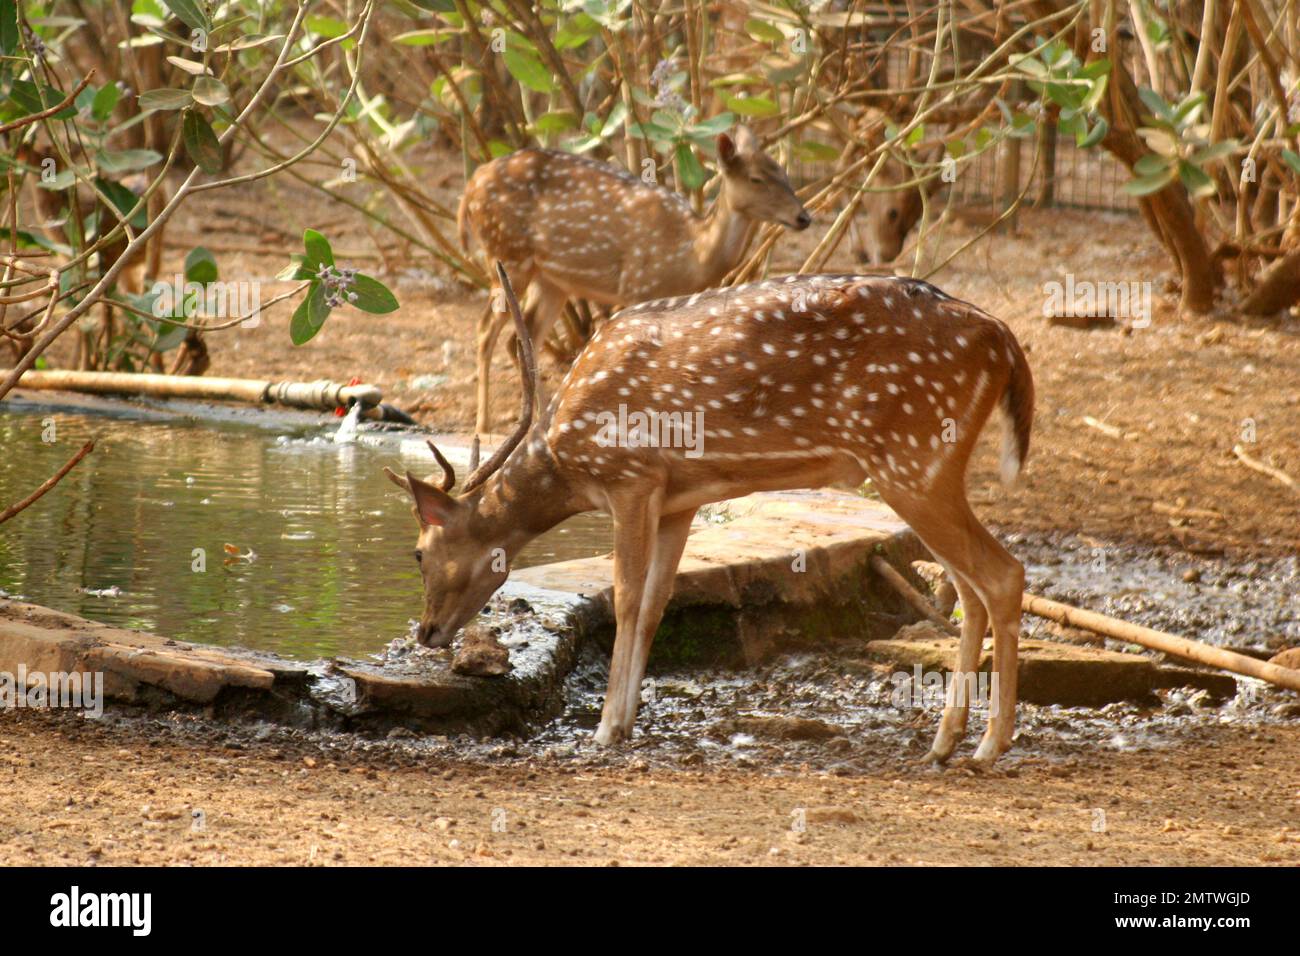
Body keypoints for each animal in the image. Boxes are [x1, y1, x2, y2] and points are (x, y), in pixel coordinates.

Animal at [386, 262, 1034, 765]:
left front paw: (604, 729)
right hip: (927, 464)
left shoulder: (631, 477)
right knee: (970, 588)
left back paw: (988, 747)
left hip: (913, 456)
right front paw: (626, 721)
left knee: (1003, 575)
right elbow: (654, 604)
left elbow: (625, 597)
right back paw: (945, 743)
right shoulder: (681, 499)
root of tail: (1003, 339)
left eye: (418, 552)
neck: (570, 458)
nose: (426, 630)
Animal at [457, 125, 812, 434]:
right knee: (485, 330)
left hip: (552, 280)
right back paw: (483, 424)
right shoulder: (636, 286)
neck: (690, 255)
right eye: (756, 178)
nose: (803, 217)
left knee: (523, 335)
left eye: (784, 173)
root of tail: (471, 184)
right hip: (507, 255)